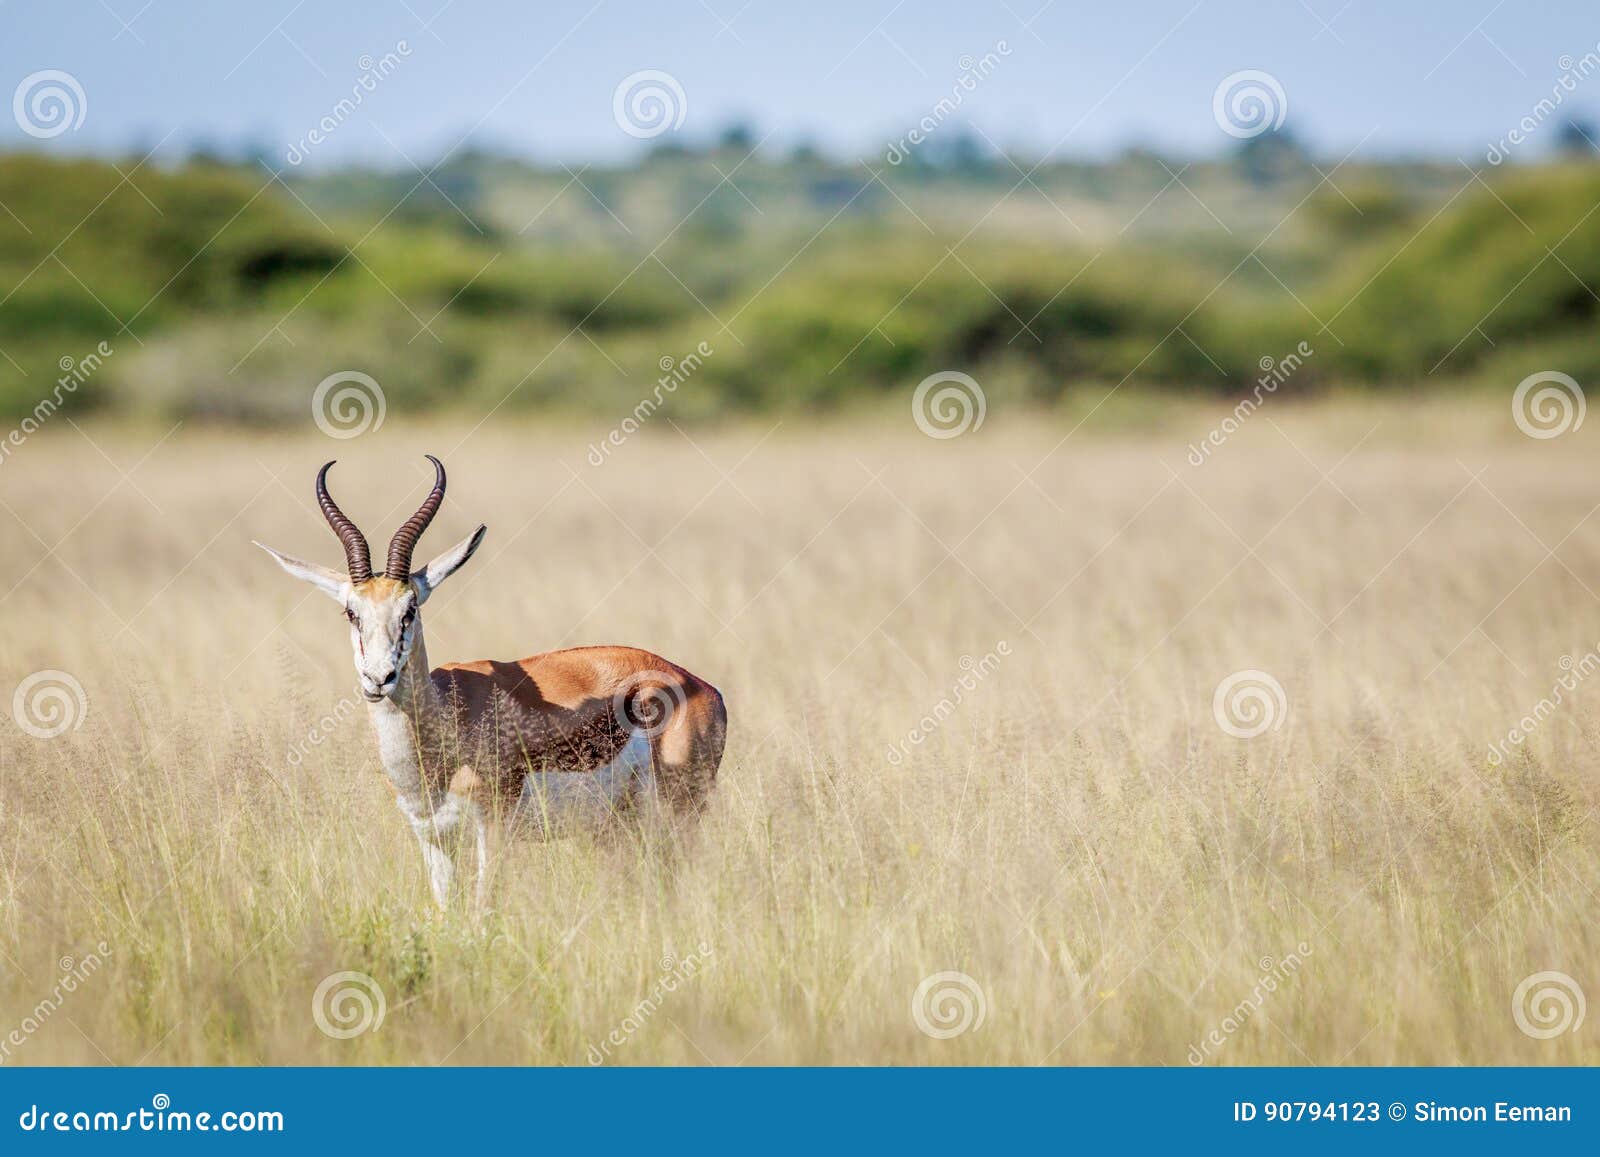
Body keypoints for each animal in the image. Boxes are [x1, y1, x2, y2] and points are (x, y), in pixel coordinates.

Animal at [255, 456, 727, 911]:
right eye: (352, 612)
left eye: (410, 609)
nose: (379, 678)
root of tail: (701, 686)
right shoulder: (433, 839)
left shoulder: (493, 829)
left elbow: (484, 906)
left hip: (678, 815)